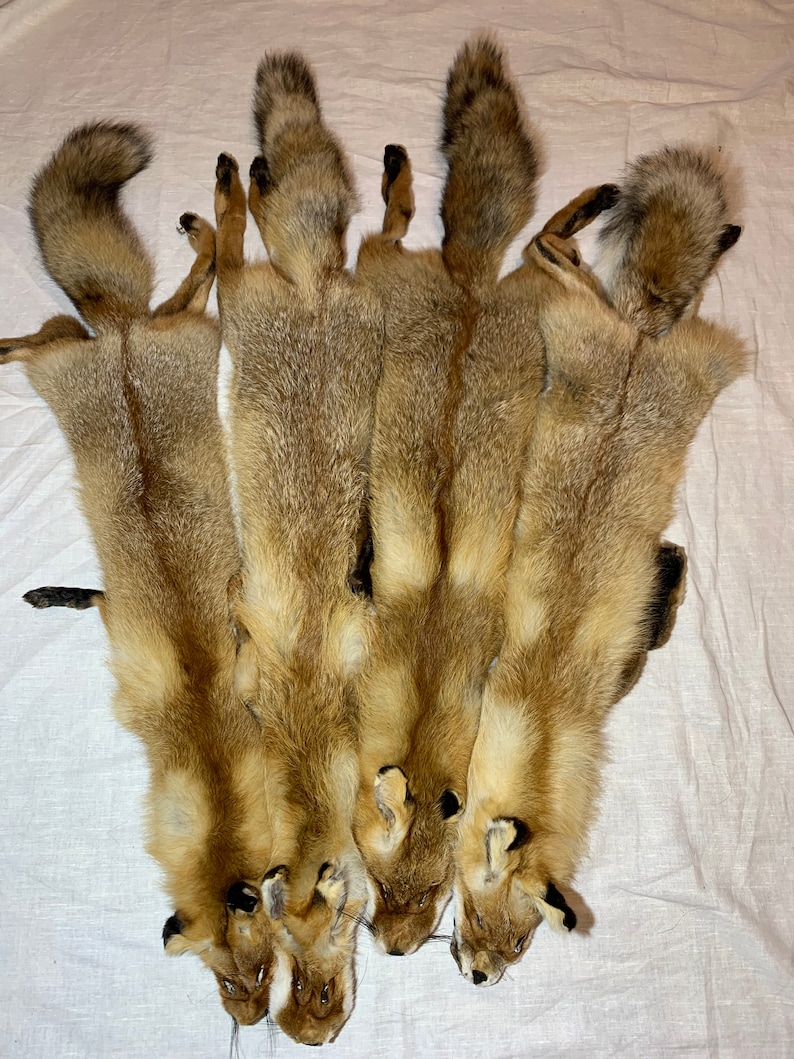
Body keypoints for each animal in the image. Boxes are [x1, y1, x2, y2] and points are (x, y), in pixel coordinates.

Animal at [0, 122, 278, 1026]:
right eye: (228, 984)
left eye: (261, 973)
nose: (254, 1024)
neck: (207, 757)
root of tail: (122, 339)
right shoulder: (128, 634)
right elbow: (89, 596)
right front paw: (47, 592)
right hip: (118, 348)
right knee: (102, 313)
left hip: (168, 341)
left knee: (175, 291)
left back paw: (214, 212)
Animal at [352, 35, 619, 957]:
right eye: (380, 885)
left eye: (432, 893)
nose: (396, 951)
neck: (429, 663)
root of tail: (470, 284)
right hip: (410, 286)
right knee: (419, 233)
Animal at [451, 147, 746, 987]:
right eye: (471, 909)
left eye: (517, 944)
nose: (477, 977)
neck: (547, 713)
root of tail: (638, 338)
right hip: (581, 321)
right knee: (548, 246)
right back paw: (595, 210)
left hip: (685, 354)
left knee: (611, 274)